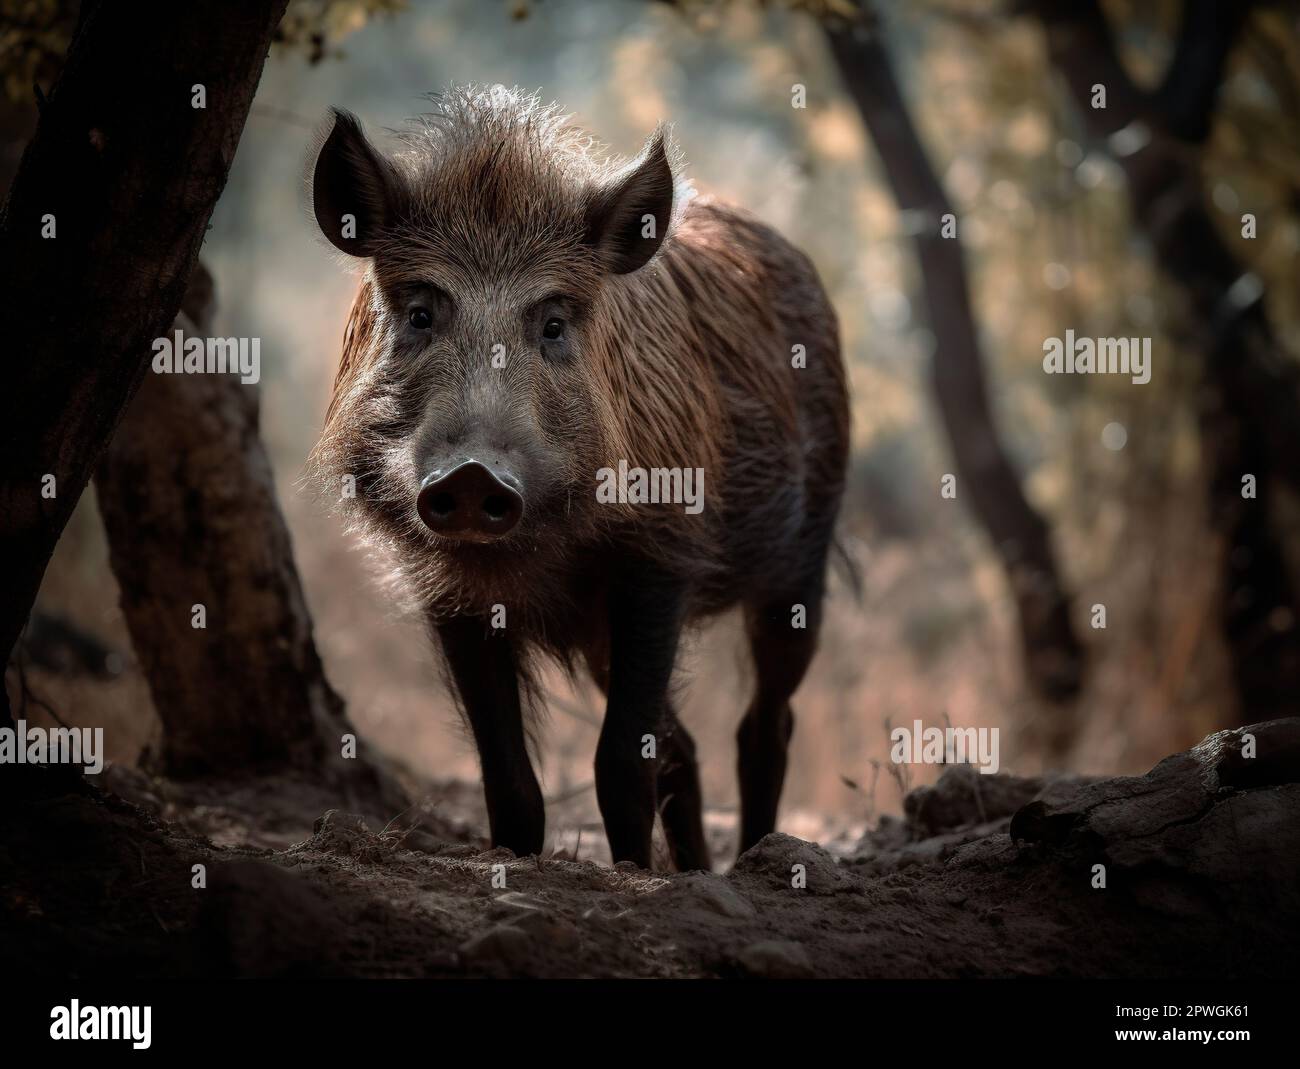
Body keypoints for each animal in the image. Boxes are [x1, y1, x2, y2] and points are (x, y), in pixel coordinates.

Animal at [310, 87, 849, 871]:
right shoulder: (446, 592)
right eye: (420, 313)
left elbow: (620, 762)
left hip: (804, 556)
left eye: (554, 324)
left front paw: (634, 878)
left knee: (764, 724)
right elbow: (508, 776)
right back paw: (700, 868)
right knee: (686, 746)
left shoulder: (659, 557)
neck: (538, 550)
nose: (471, 474)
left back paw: (757, 861)